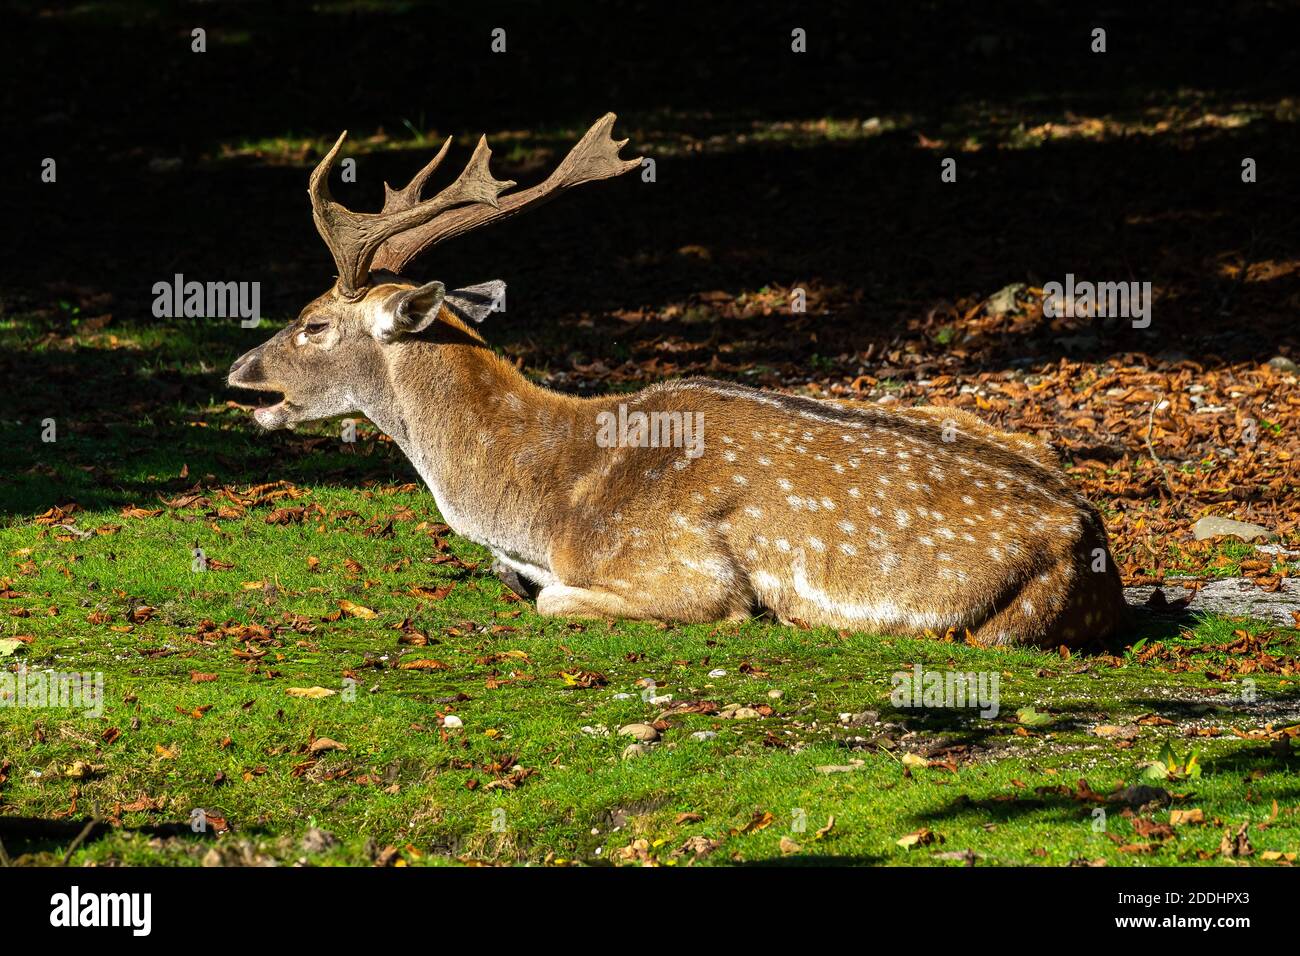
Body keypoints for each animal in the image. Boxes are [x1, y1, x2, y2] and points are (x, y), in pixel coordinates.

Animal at [228, 112, 1129, 648]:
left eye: (313, 323)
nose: (240, 375)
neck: (544, 501)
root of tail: (1096, 545)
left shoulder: (689, 572)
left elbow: (557, 599)